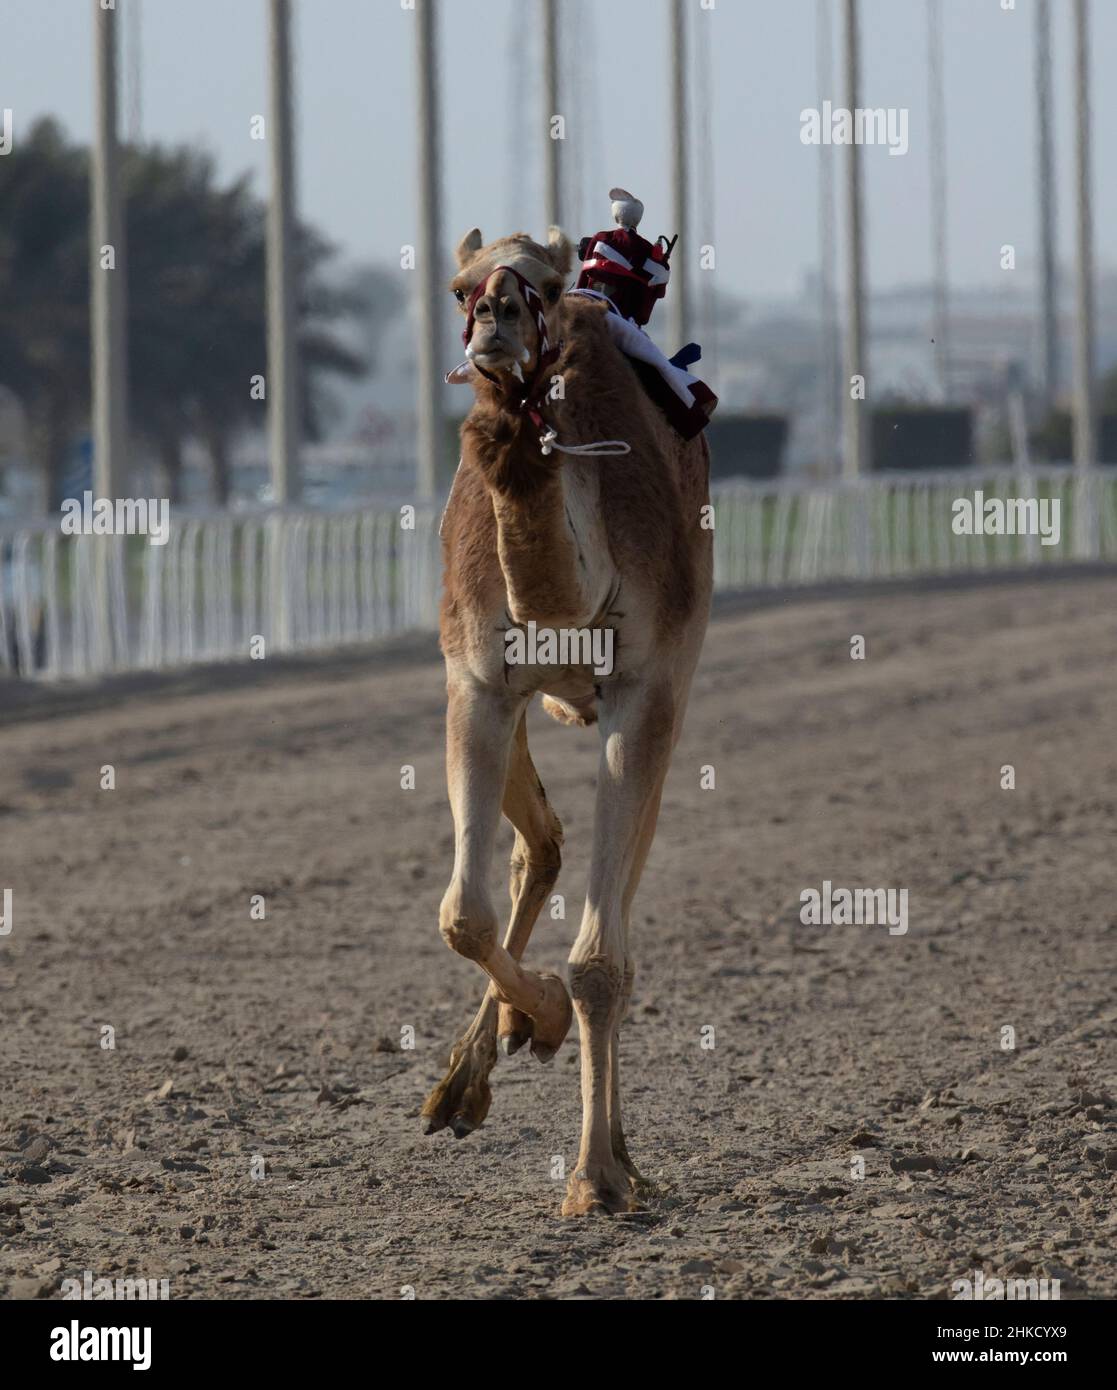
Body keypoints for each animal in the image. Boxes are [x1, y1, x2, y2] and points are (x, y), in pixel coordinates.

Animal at [420, 224, 713, 1215]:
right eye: (459, 286)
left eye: (543, 287)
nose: (495, 323)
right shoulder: (475, 682)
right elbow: (462, 916)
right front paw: (529, 1017)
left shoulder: (646, 687)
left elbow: (595, 960)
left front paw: (592, 1179)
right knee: (535, 847)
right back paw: (466, 1080)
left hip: (672, 690)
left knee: (609, 906)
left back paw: (613, 1148)